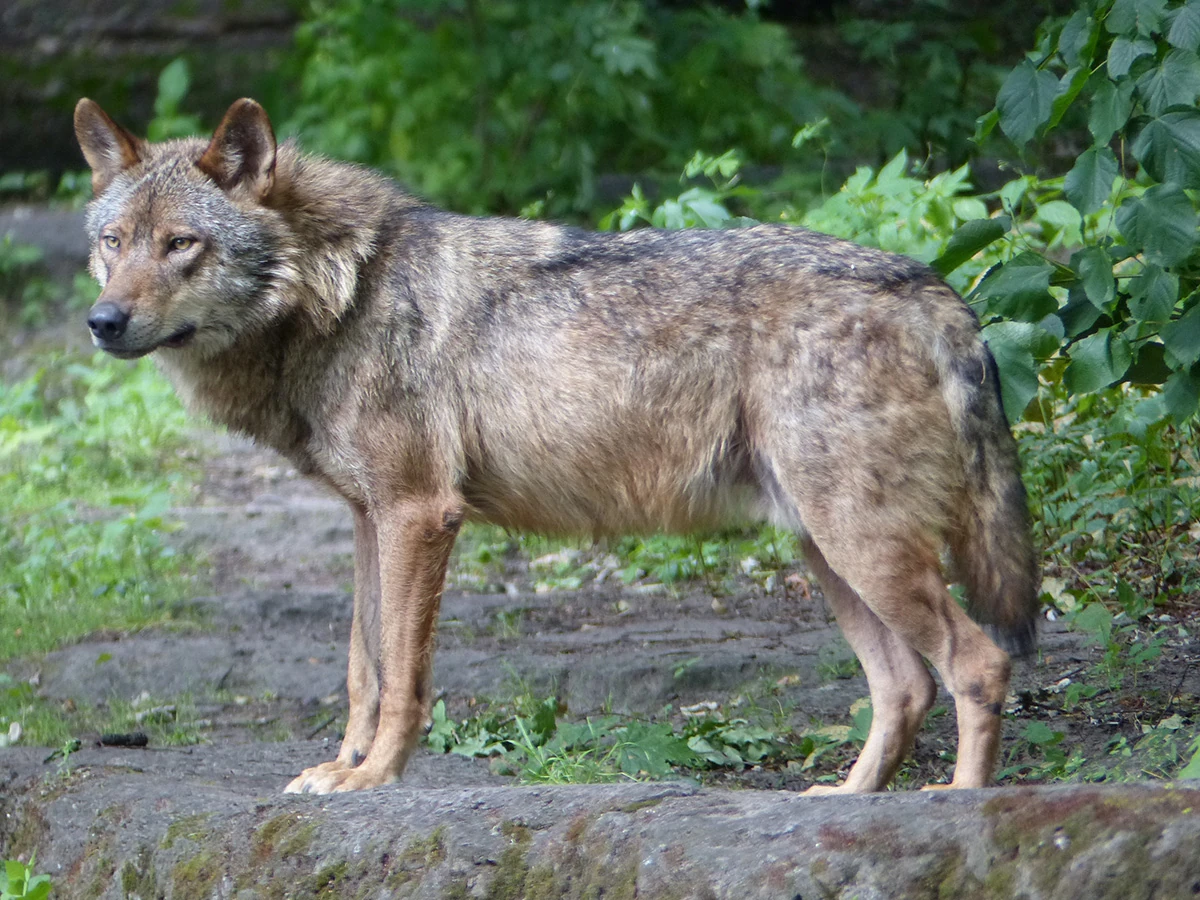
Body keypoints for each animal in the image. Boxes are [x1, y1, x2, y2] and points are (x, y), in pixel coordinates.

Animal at [73, 97, 1038, 794]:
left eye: (182, 245)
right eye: (113, 243)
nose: (102, 321)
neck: (340, 293)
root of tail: (940, 291)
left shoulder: (420, 514)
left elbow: (404, 676)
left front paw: (373, 779)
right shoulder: (367, 519)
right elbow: (361, 668)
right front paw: (340, 768)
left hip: (859, 546)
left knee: (979, 662)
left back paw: (958, 807)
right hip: (827, 550)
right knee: (906, 686)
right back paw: (841, 802)